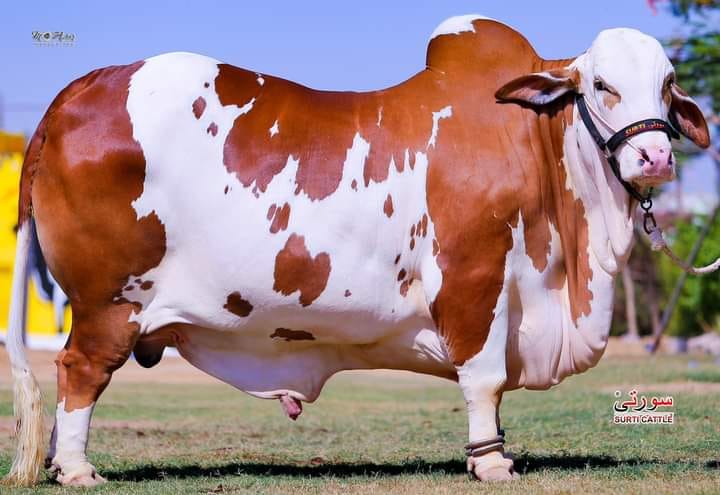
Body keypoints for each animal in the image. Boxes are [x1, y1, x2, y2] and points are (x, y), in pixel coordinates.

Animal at [3, 15, 709, 487]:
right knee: (79, 370)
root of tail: (82, 88)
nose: (655, 157)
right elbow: (484, 379)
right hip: (108, 303)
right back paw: (77, 468)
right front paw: (491, 463)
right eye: (601, 84)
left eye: (669, 82)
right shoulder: (474, 280)